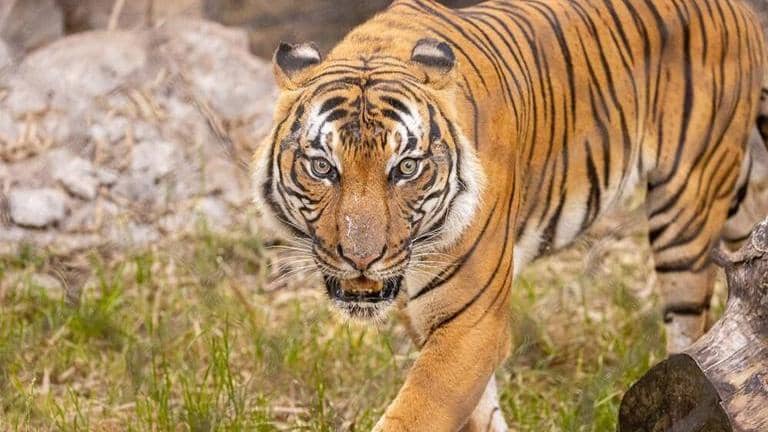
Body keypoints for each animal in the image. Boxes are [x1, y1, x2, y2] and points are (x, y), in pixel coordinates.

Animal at [252, 0, 768, 430]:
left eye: (406, 168)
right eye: (323, 167)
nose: (361, 259)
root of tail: (739, 9)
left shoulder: (472, 321)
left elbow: (417, 412)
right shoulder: (430, 319)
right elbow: (480, 411)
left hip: (685, 207)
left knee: (690, 328)